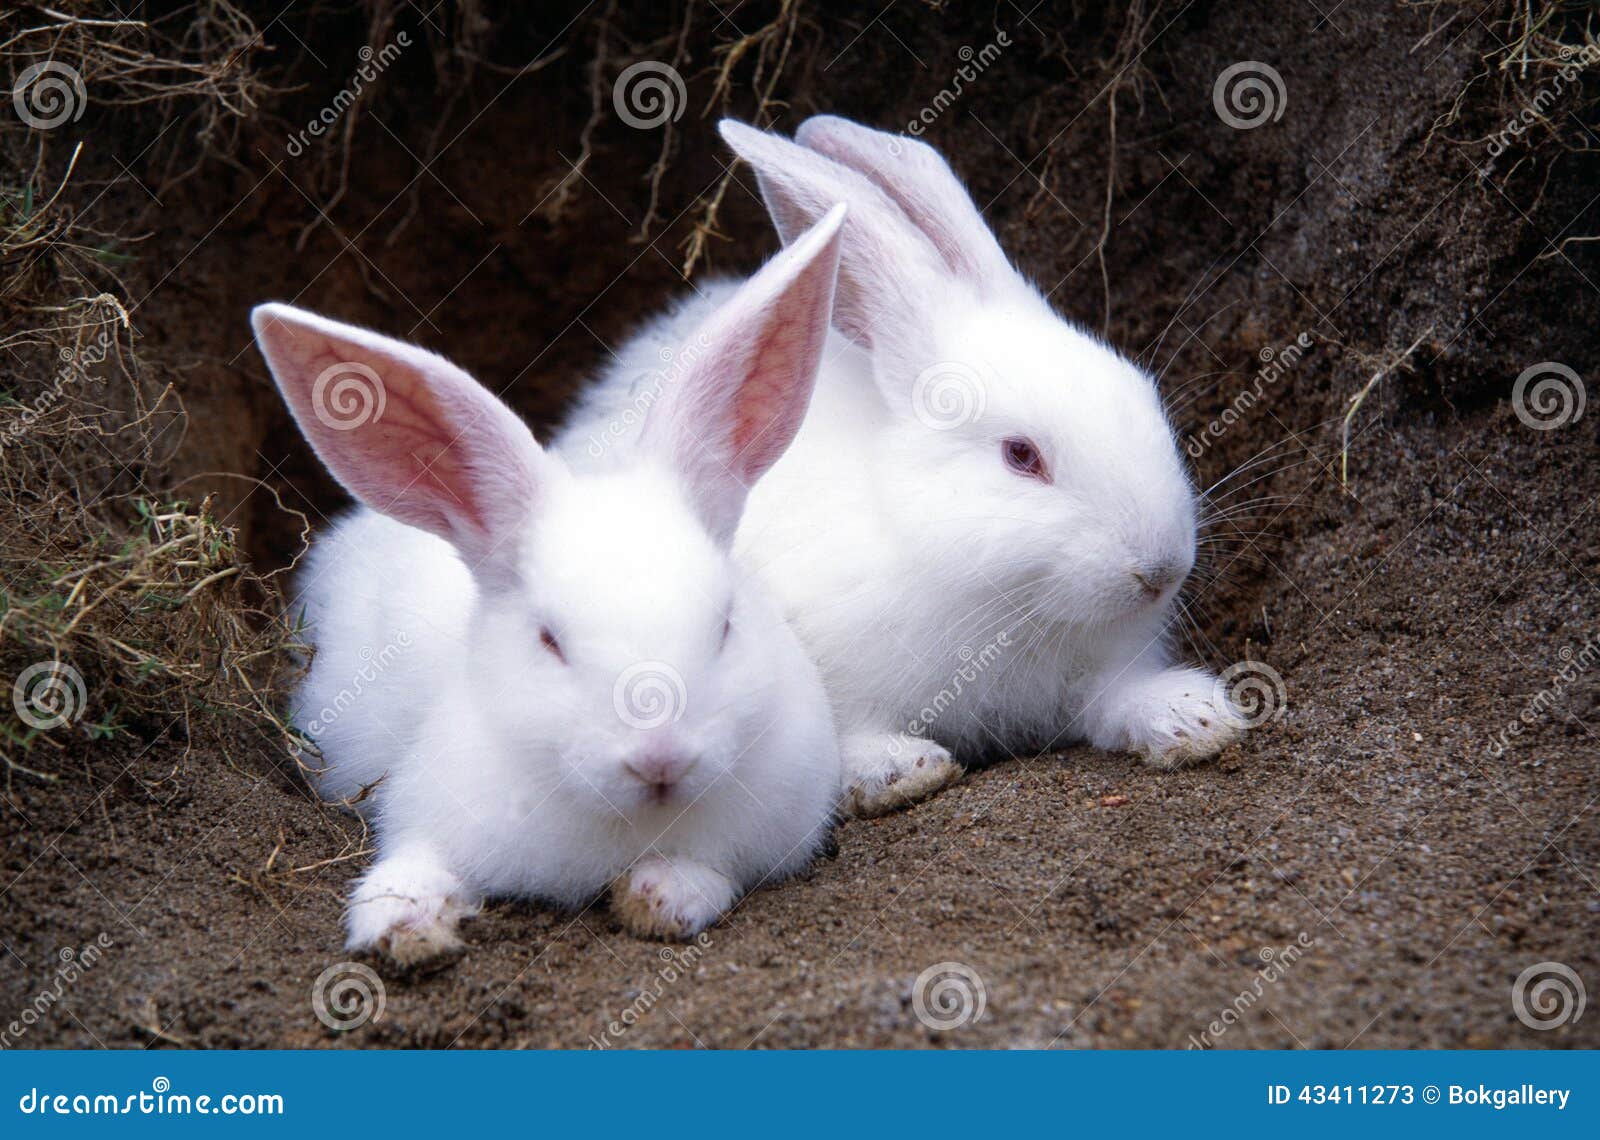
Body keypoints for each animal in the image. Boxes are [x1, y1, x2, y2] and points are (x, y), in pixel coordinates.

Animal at [251, 205, 849, 966]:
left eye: (725, 625)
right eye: (548, 640)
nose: (660, 758)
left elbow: (701, 875)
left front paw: (656, 898)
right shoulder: (425, 813)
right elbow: (412, 861)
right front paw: (399, 928)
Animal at [560, 116, 1242, 819]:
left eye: (1144, 395)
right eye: (1021, 456)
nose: (1162, 570)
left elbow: (1111, 699)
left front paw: (1195, 718)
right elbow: (844, 735)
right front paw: (900, 769)